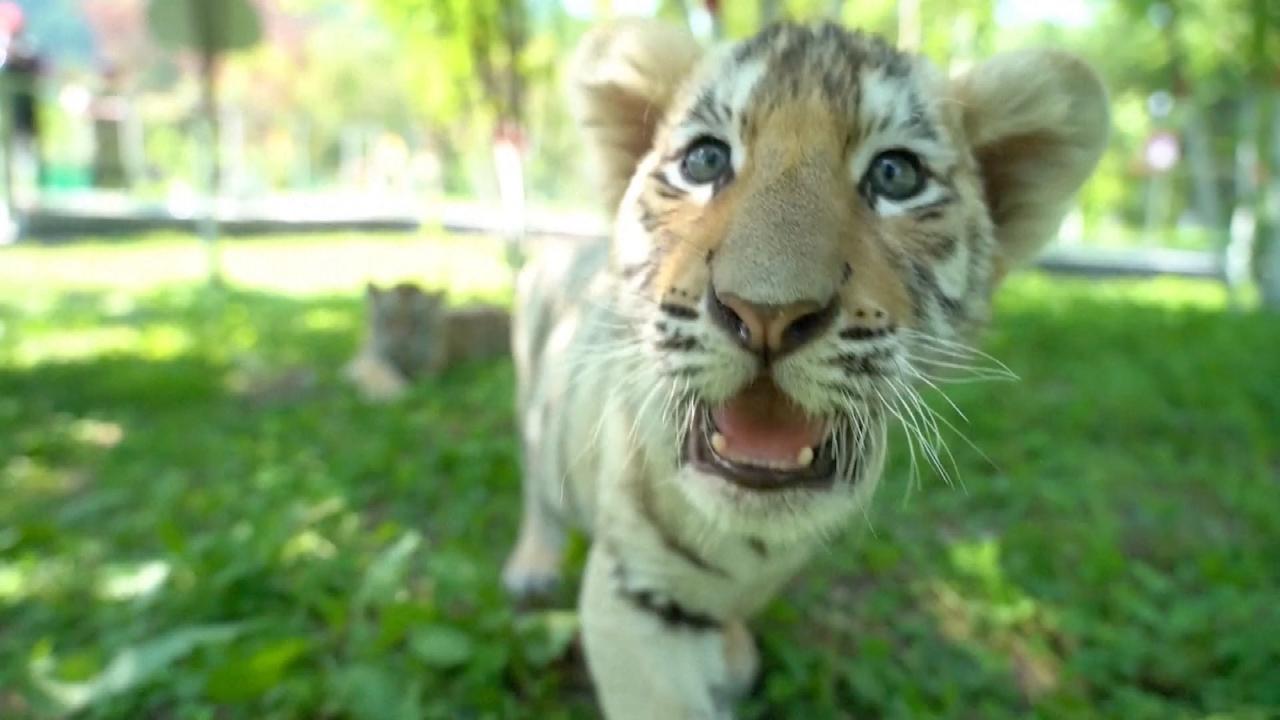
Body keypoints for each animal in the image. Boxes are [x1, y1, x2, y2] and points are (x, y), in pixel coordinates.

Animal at [344, 282, 510, 401]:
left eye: (415, 324)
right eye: (390, 321)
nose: (401, 340)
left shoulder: (432, 366)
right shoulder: (366, 360)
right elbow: (380, 372)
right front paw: (392, 393)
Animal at [502, 20, 1108, 719]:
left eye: (895, 175)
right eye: (705, 161)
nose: (766, 312)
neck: (754, 546)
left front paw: (734, 658)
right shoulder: (632, 597)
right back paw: (530, 567)